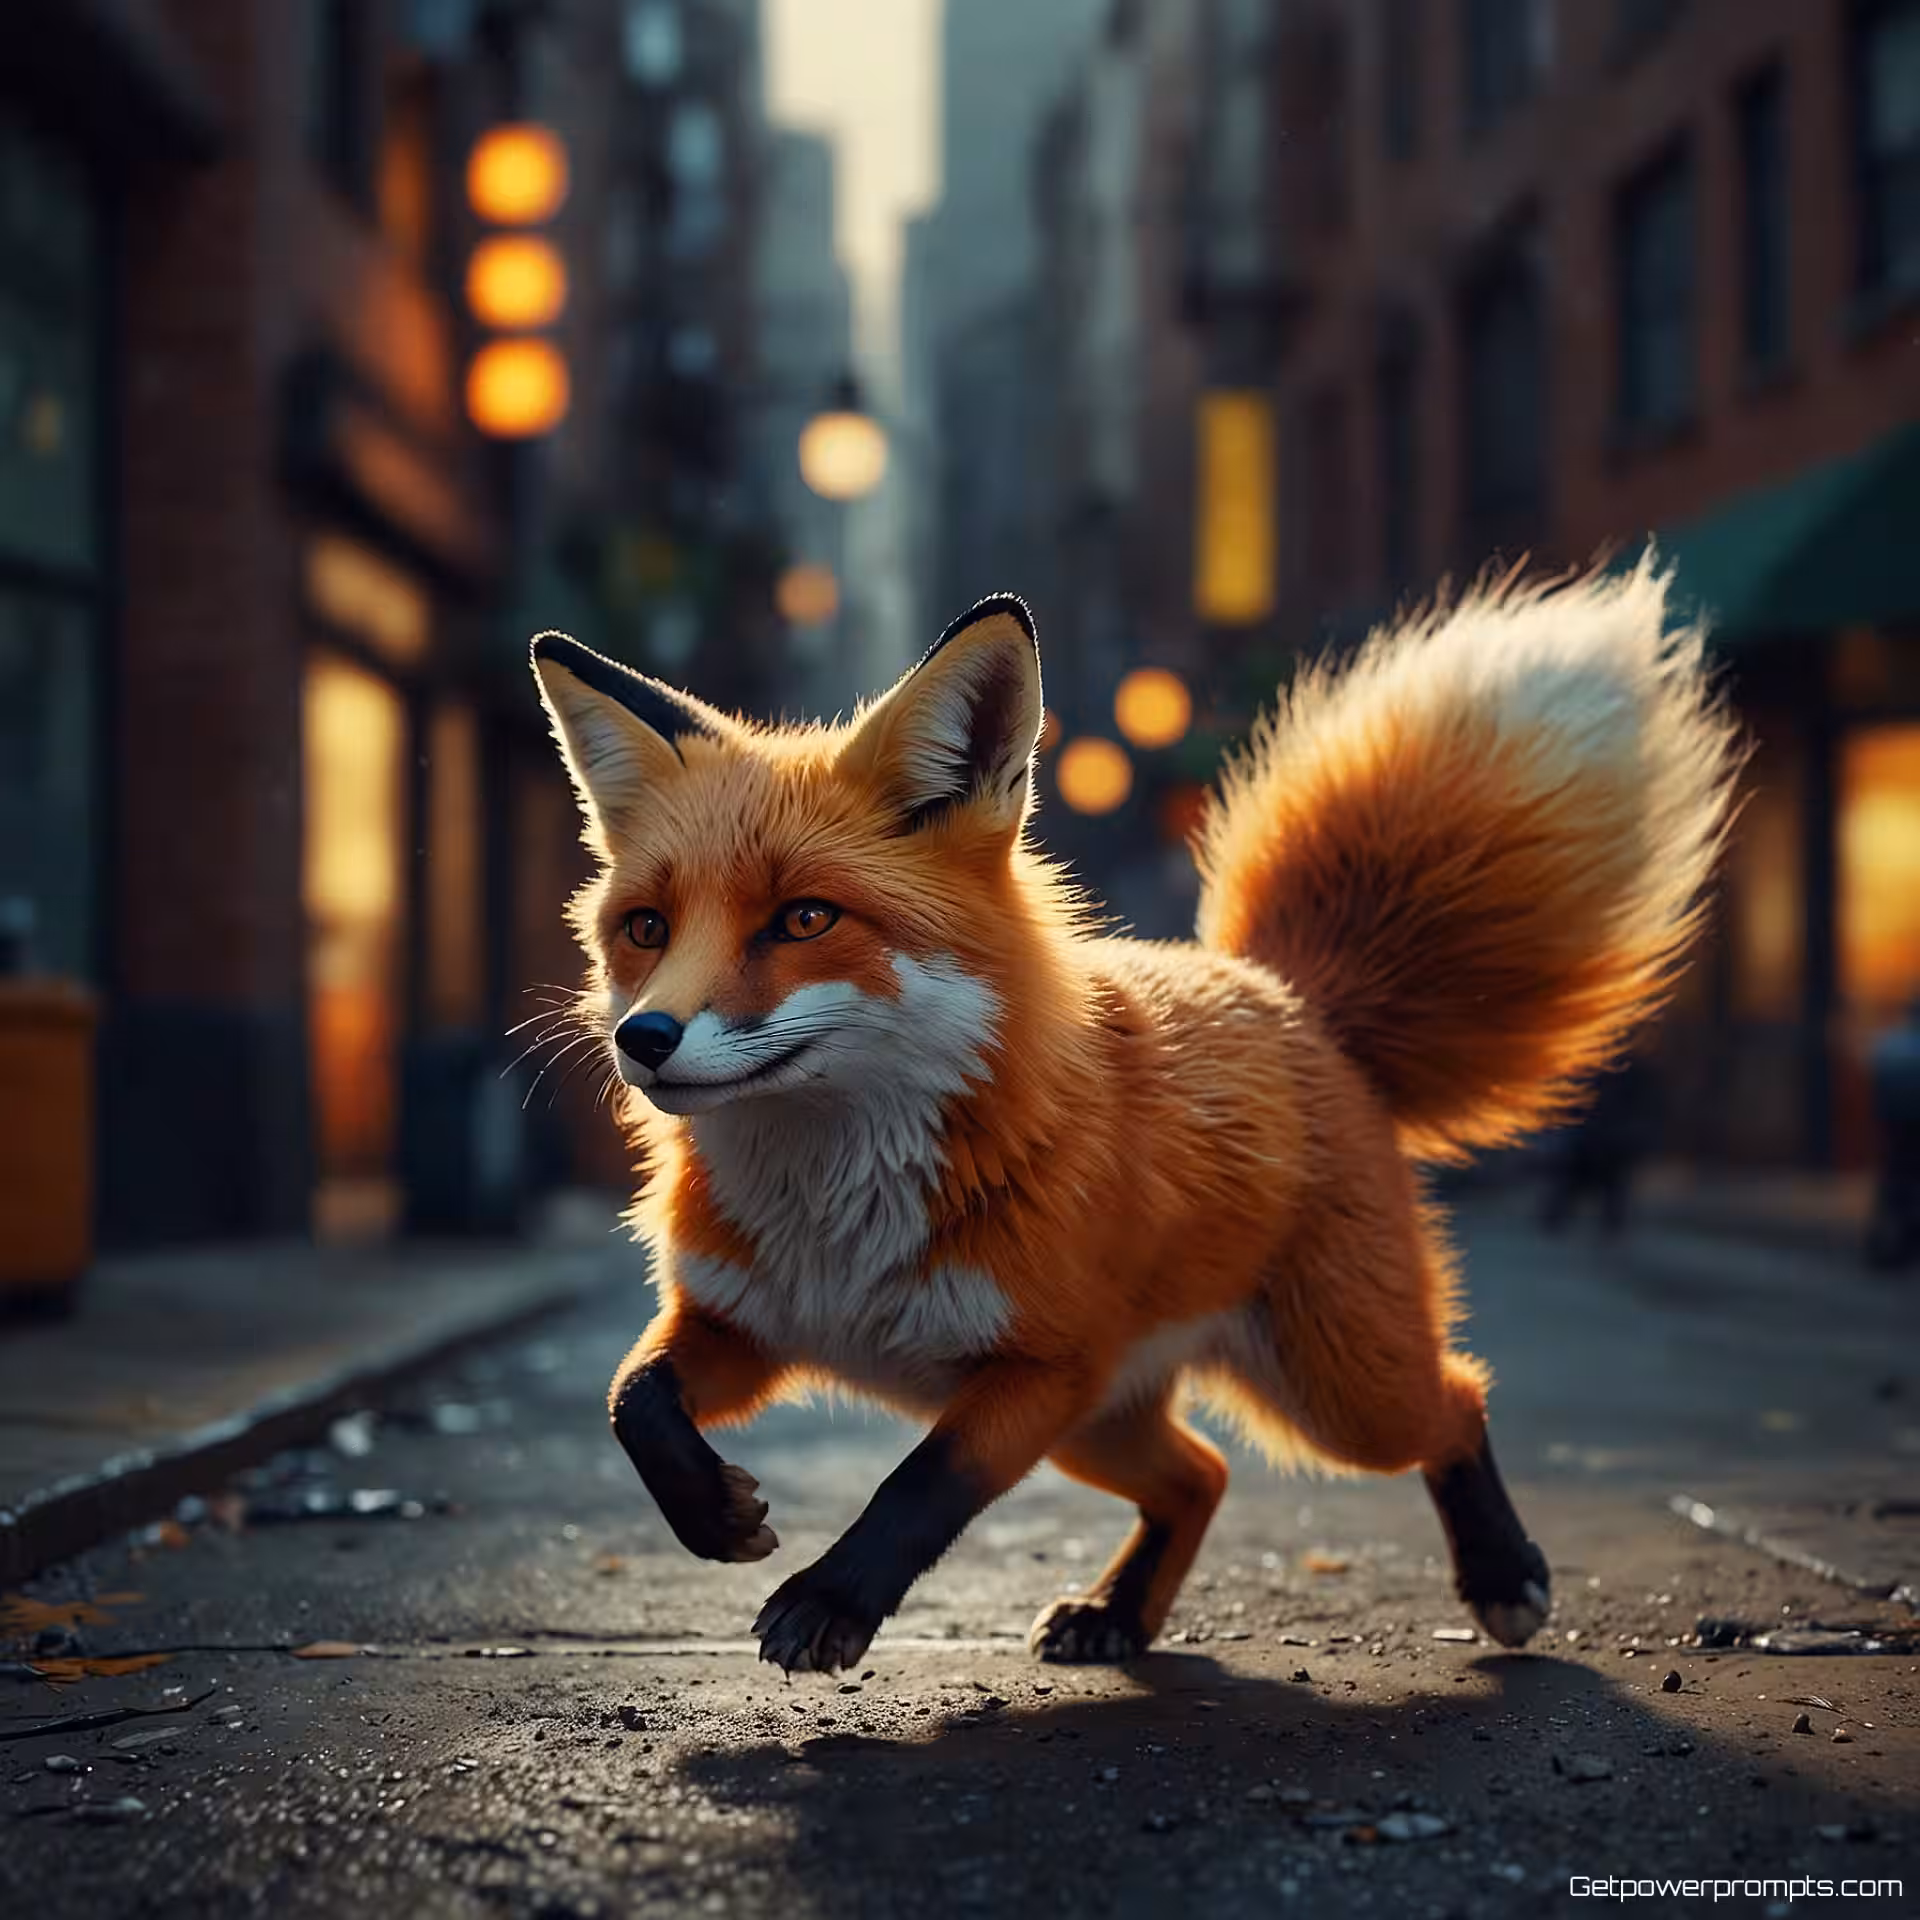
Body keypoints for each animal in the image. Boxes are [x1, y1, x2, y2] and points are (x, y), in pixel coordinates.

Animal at [529, 556, 1738, 1675]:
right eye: (646, 926)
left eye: (804, 919)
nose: (644, 1038)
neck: (836, 1214)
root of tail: (1288, 995)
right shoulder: (748, 1324)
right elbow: (631, 1400)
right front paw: (713, 1512)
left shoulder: (1039, 1370)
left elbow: (920, 1487)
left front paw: (831, 1602)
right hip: (1110, 1425)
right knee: (1202, 1474)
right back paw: (1117, 1612)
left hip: (1332, 1393)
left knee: (1453, 1402)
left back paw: (1501, 1575)